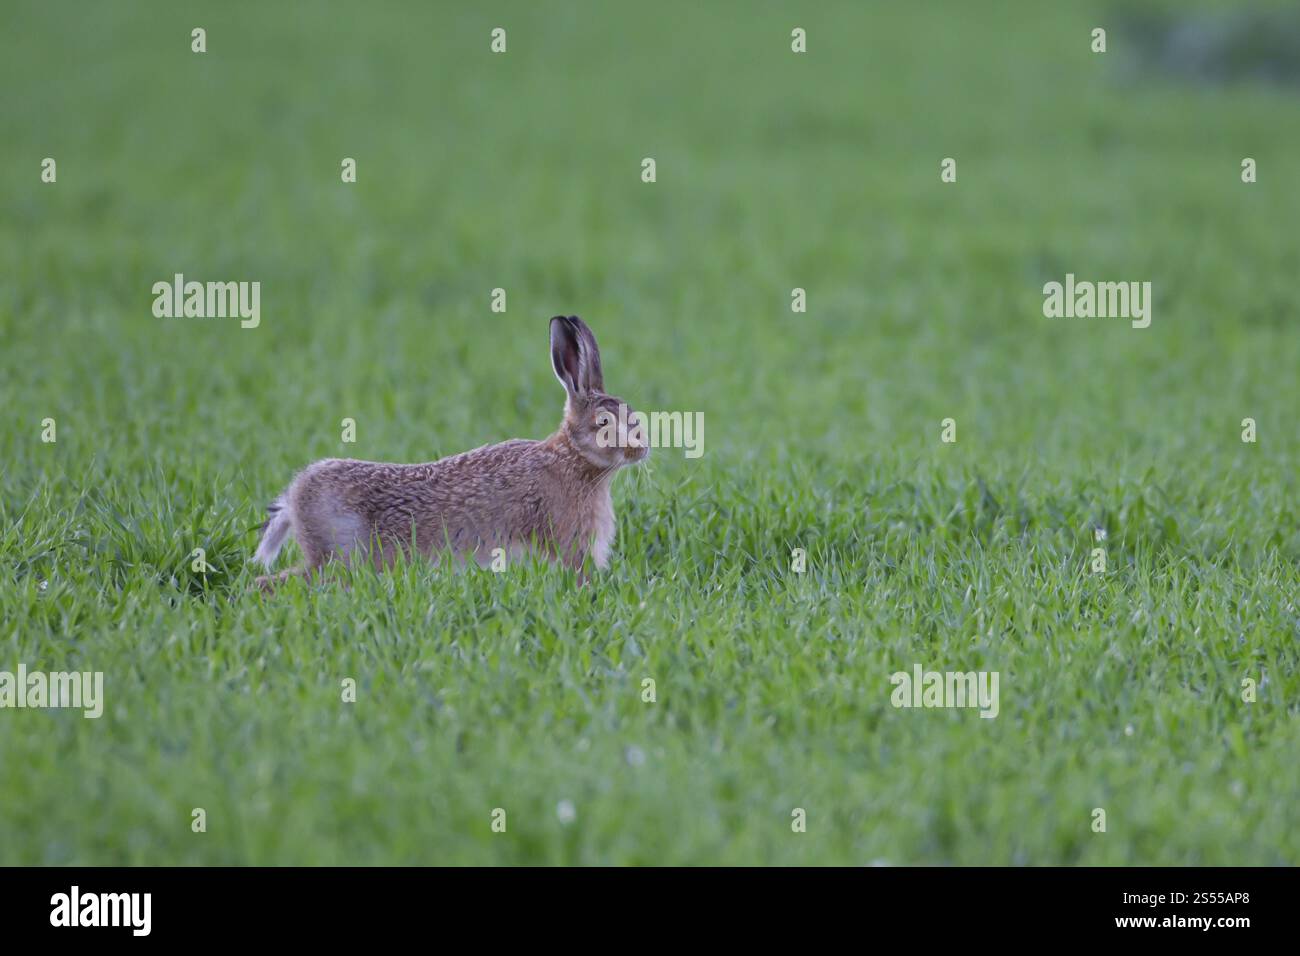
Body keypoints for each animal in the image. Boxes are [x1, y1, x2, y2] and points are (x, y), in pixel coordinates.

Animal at [252, 315, 648, 591]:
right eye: (604, 422)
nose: (642, 448)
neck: (574, 459)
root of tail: (294, 497)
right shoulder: (569, 541)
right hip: (338, 556)